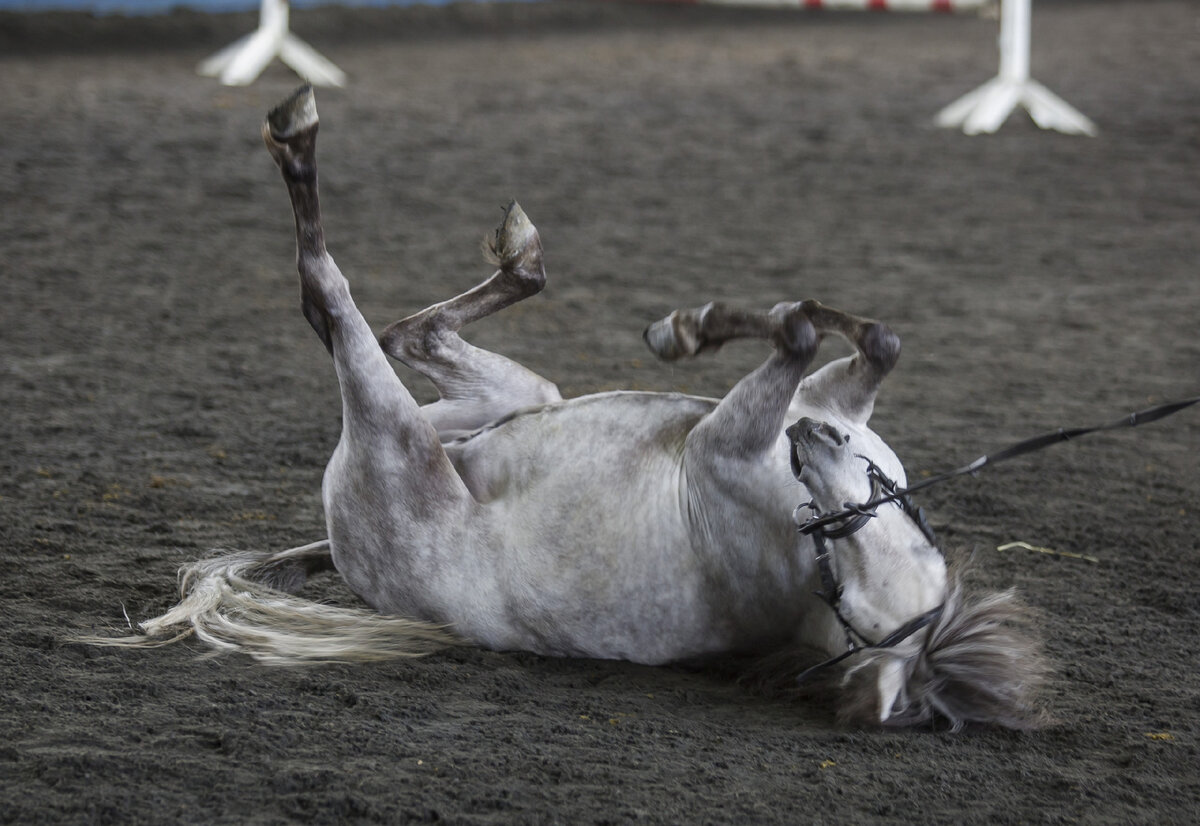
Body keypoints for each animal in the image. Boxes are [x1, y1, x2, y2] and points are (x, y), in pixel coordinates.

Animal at [100, 87, 1041, 725]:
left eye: (849, 581)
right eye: (877, 518)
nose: (812, 442)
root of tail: (338, 547)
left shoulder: (730, 441)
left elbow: (804, 334)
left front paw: (693, 327)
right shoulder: (818, 395)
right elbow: (860, 335)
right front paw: (691, 327)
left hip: (396, 438)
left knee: (330, 299)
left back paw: (297, 134)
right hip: (514, 404)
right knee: (417, 331)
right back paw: (522, 254)